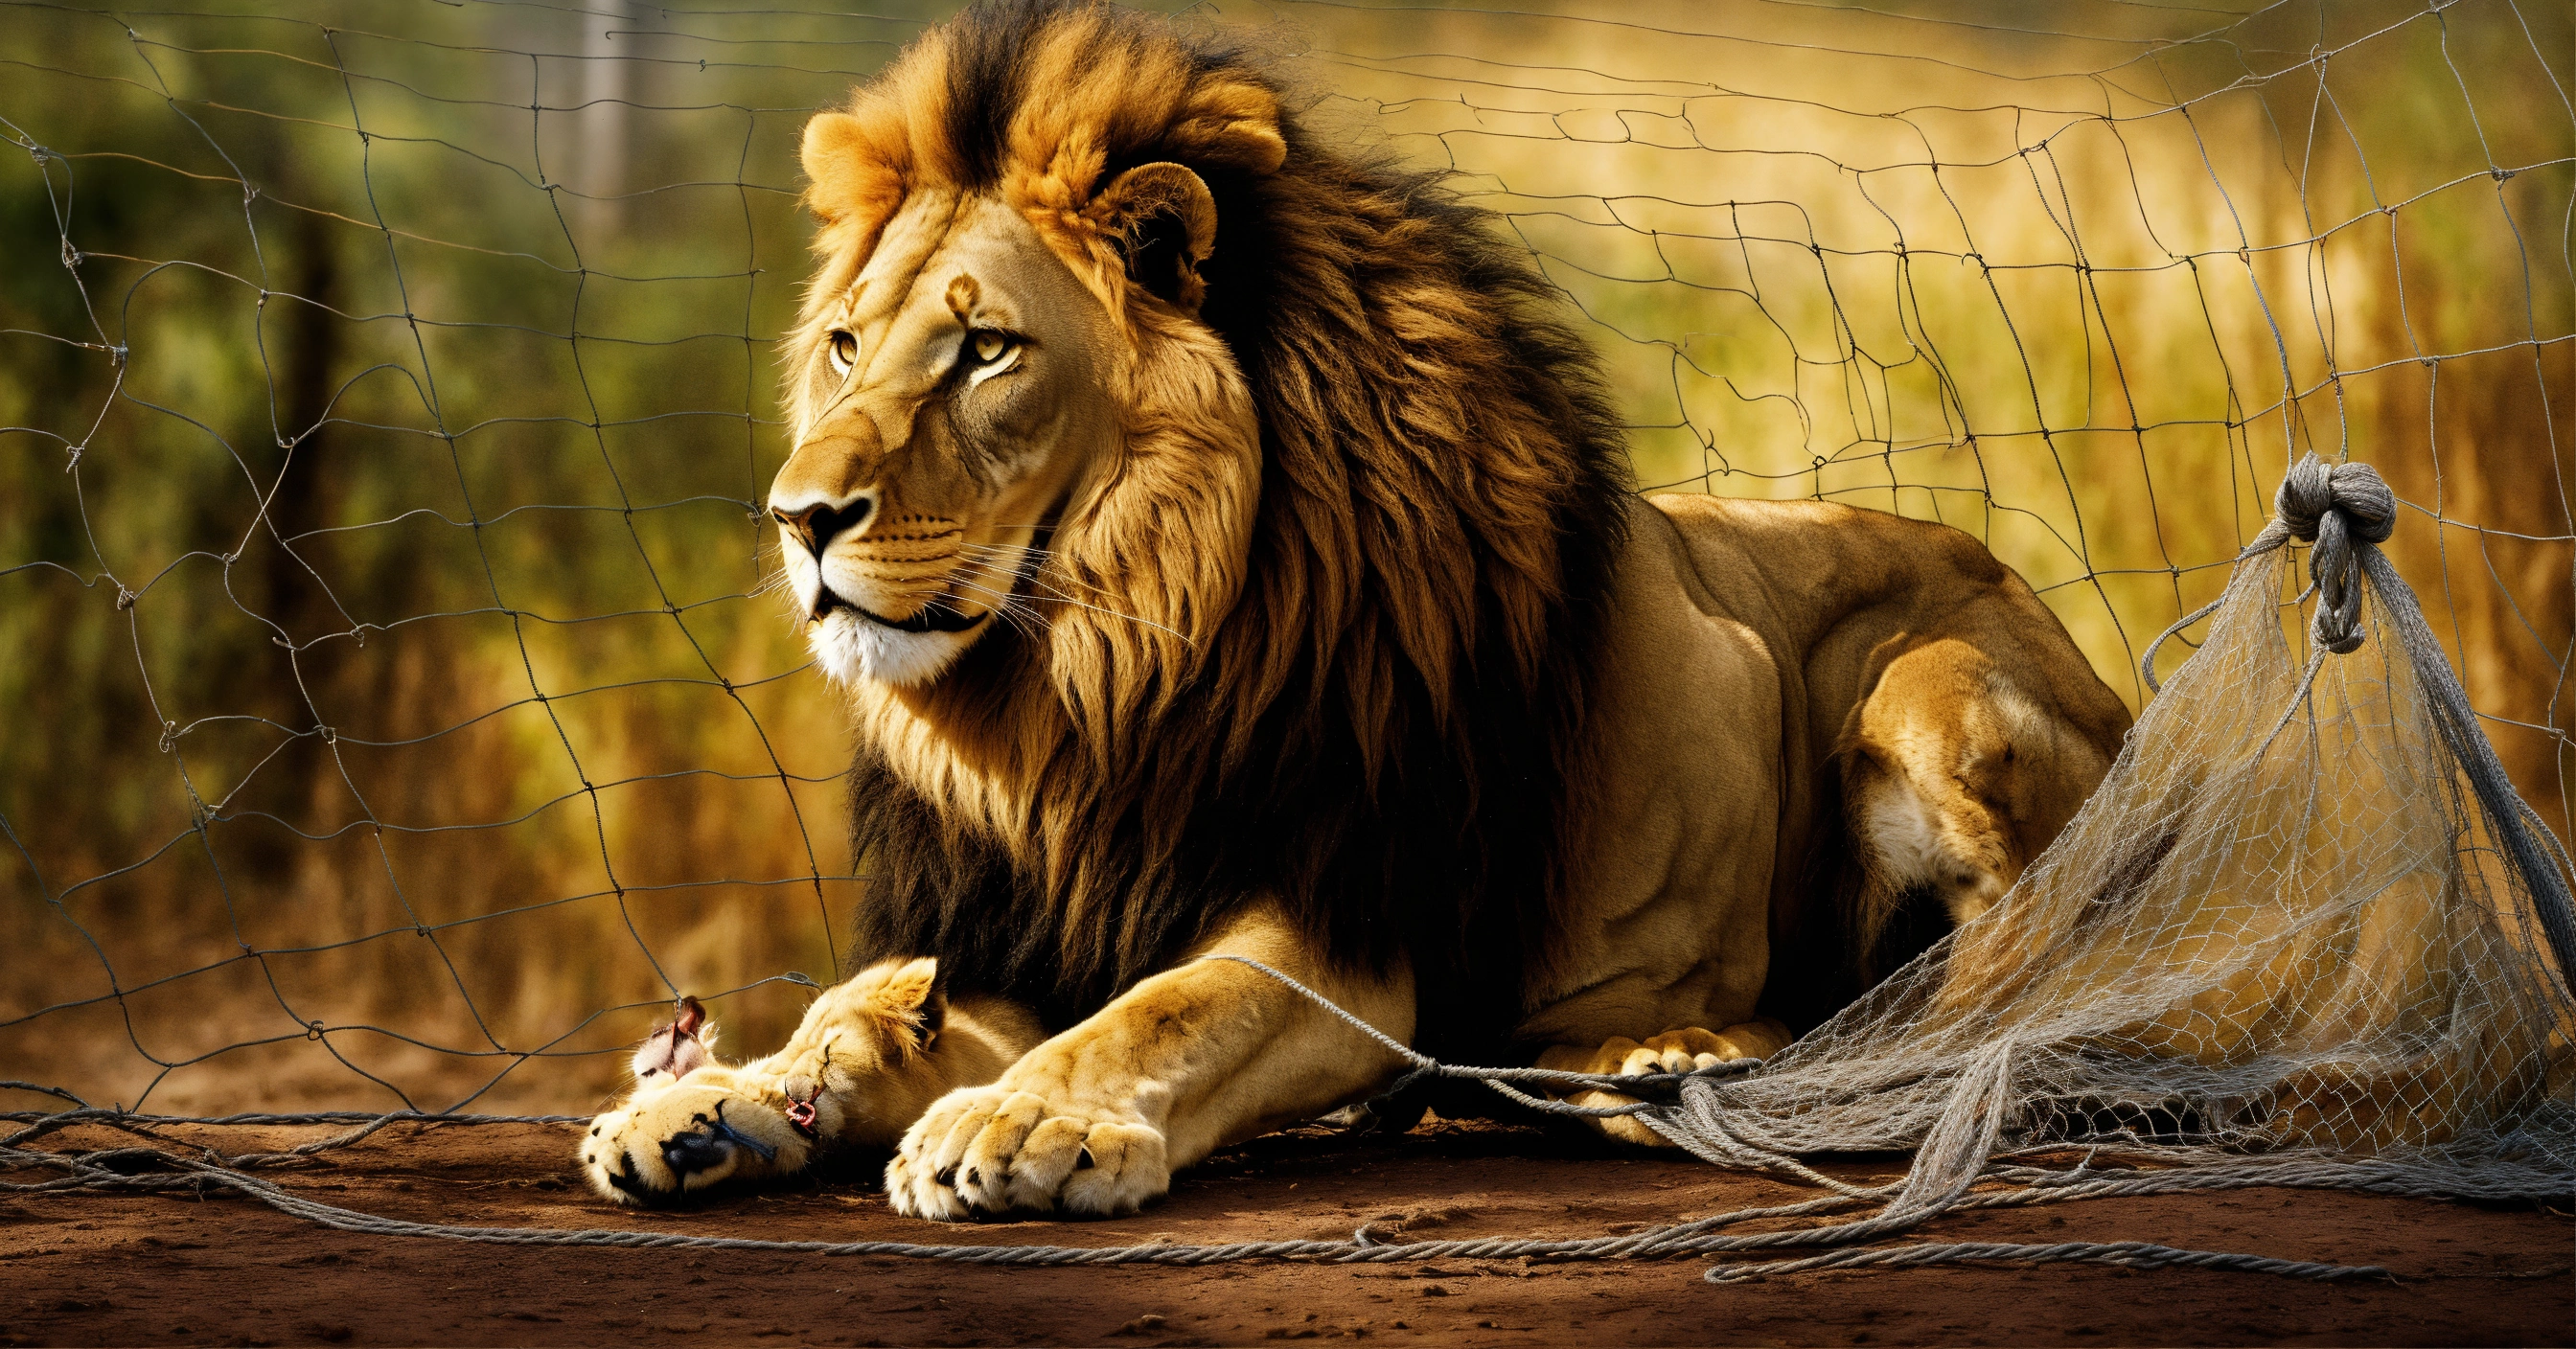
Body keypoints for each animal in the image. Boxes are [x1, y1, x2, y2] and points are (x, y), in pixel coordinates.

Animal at [578, 0, 2133, 1216]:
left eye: (985, 352)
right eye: (848, 346)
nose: (798, 517)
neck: (1090, 675)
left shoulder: (1347, 925)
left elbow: (1174, 1003)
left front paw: (1026, 1116)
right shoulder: (1016, 927)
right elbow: (851, 1017)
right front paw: (702, 1104)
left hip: (1925, 692)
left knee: (2018, 990)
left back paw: (1687, 1062)